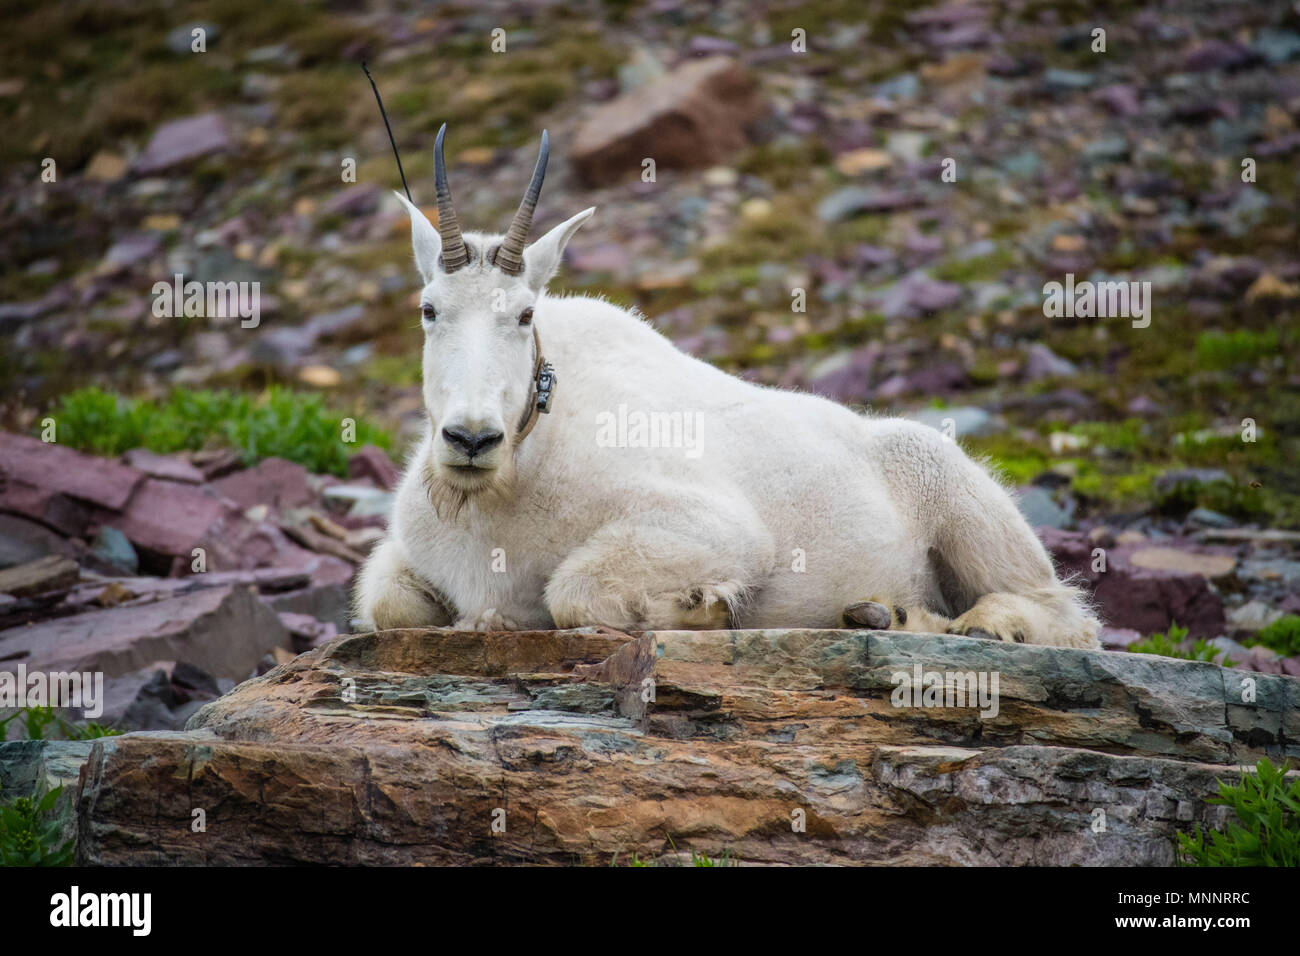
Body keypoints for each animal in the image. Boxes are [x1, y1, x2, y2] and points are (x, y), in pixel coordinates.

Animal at [355, 126, 1100, 648]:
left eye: (524, 314)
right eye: (429, 309)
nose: (470, 438)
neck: (502, 488)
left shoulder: (720, 531)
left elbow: (571, 591)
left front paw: (704, 608)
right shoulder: (403, 557)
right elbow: (388, 605)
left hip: (966, 506)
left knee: (1066, 613)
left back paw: (967, 623)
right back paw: (881, 613)